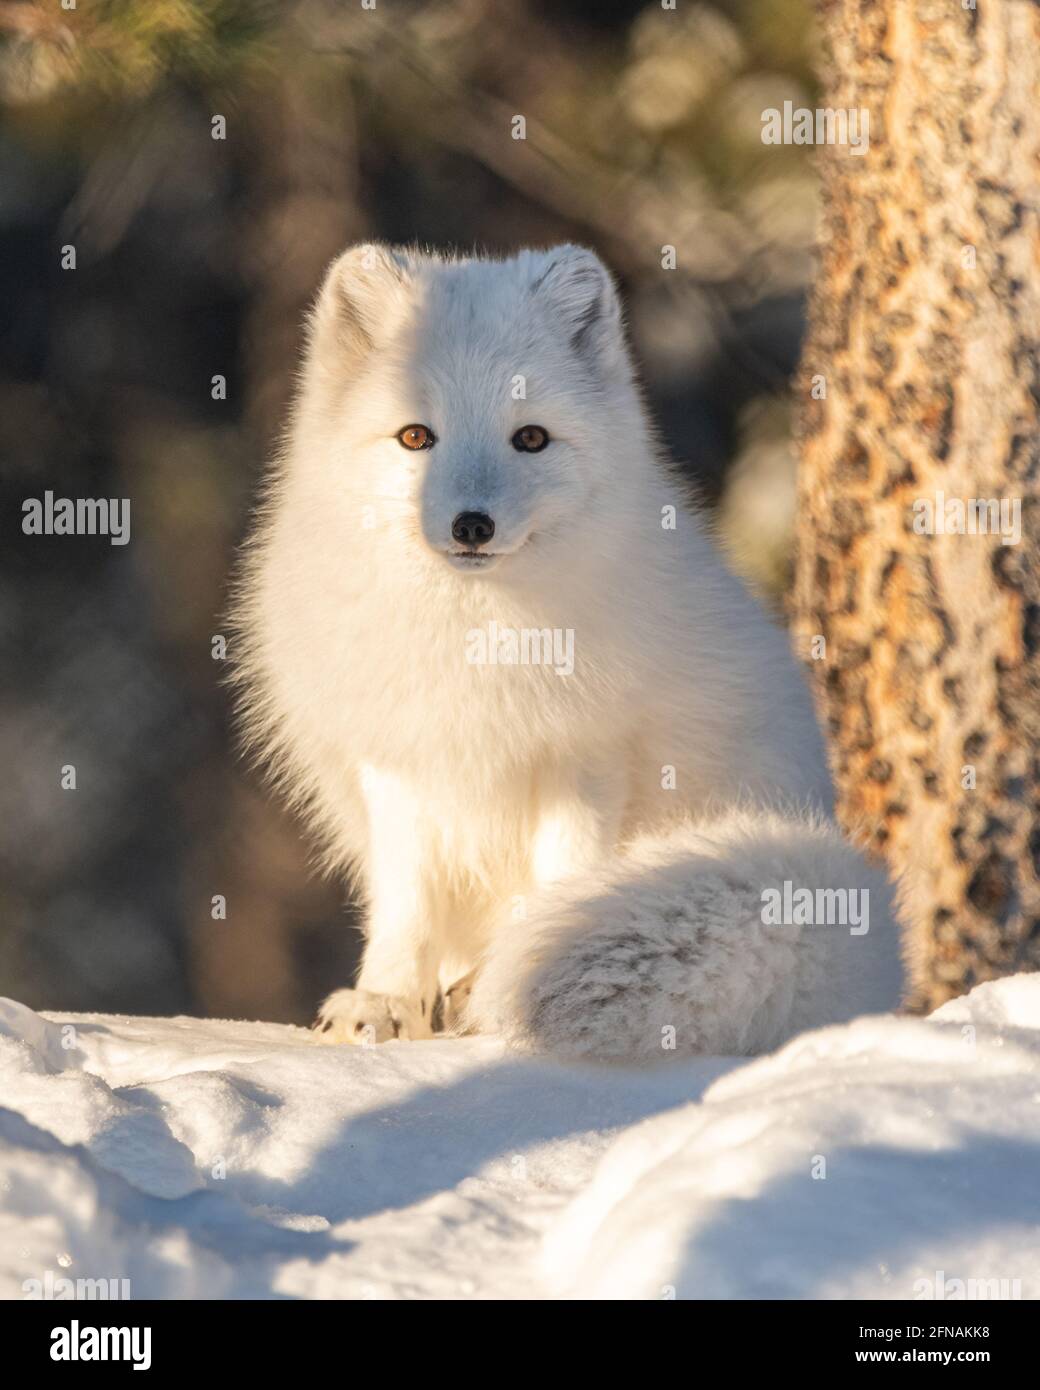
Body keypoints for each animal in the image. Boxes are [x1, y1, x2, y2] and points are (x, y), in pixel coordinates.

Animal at [230, 243, 905, 1062]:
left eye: (530, 438)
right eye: (416, 437)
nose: (473, 525)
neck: (477, 639)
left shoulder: (584, 760)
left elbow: (560, 887)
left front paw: (502, 993)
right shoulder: (397, 763)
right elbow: (404, 909)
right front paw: (386, 1001)